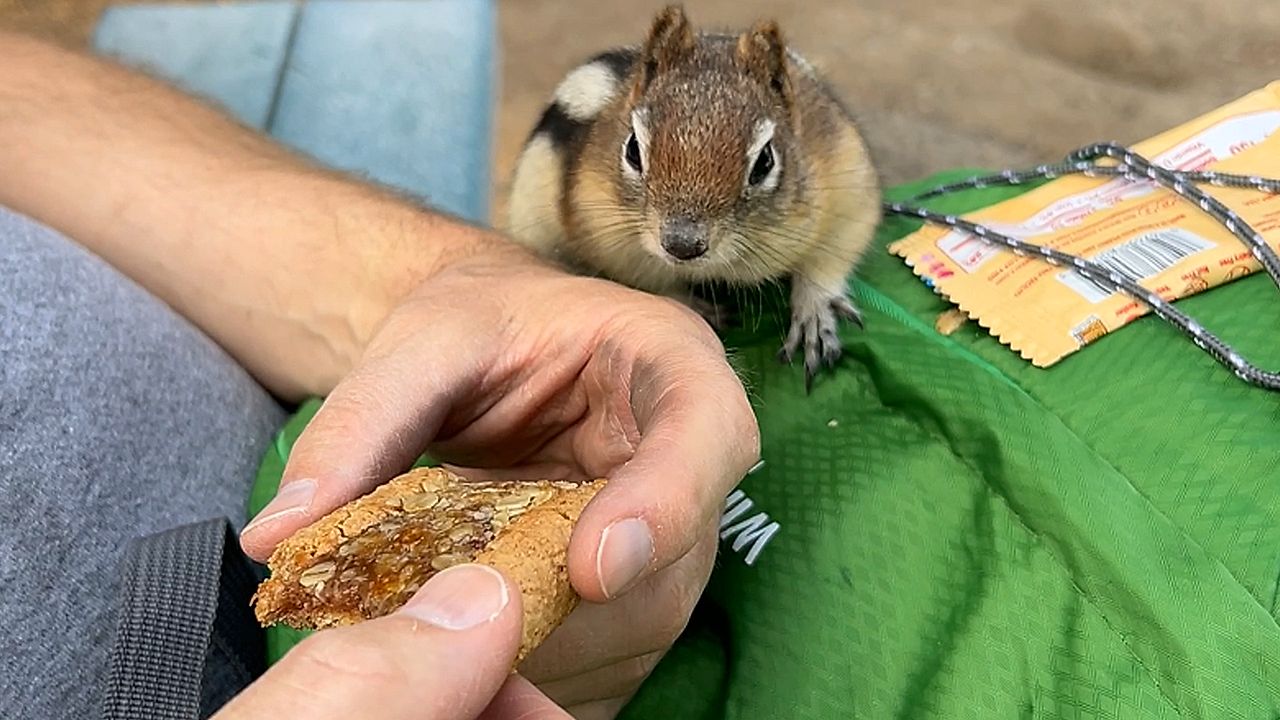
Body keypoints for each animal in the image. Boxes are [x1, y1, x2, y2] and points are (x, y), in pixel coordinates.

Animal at [503, 5, 882, 389]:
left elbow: (828, 261)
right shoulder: (610, 237)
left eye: (765, 161)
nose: (682, 245)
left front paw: (814, 313)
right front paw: (693, 303)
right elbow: (652, 281)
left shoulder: (847, 183)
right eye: (633, 150)